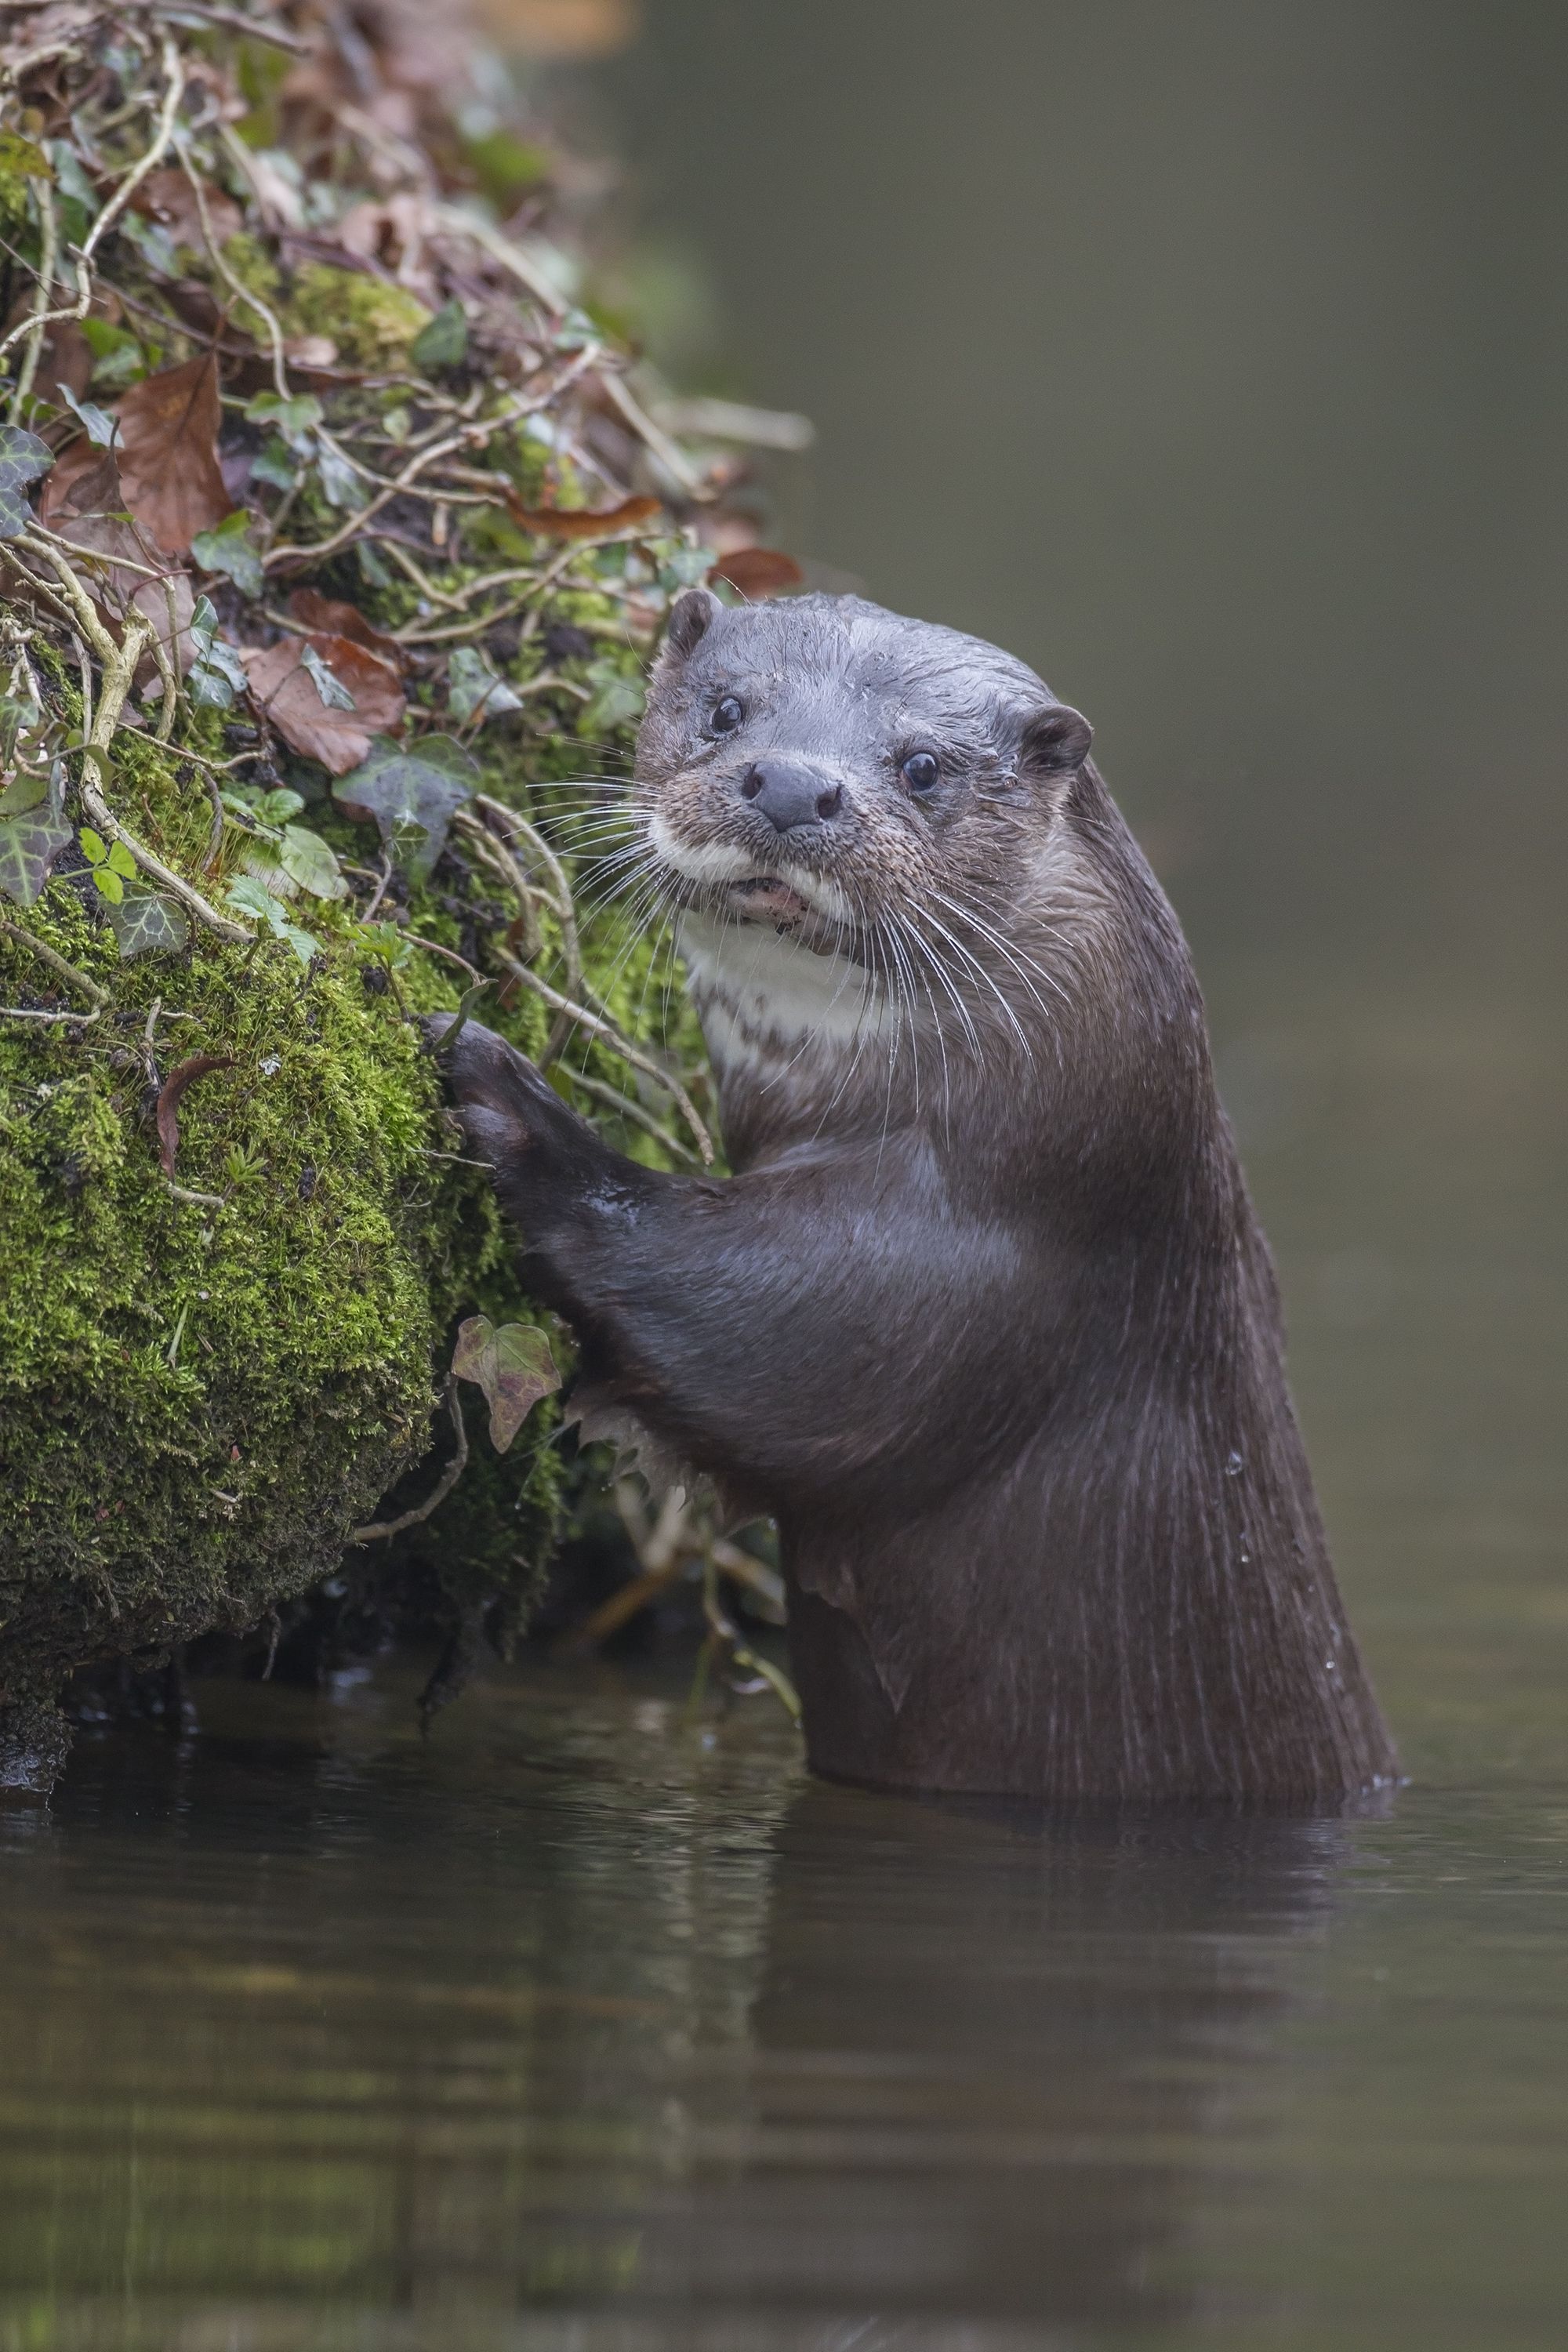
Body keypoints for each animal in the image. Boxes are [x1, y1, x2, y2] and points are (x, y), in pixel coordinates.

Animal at [434, 590, 1397, 1808]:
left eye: (923, 766)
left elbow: (761, 1345)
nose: (792, 785)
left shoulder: (989, 1254)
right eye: (726, 709)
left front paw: (510, 1106)